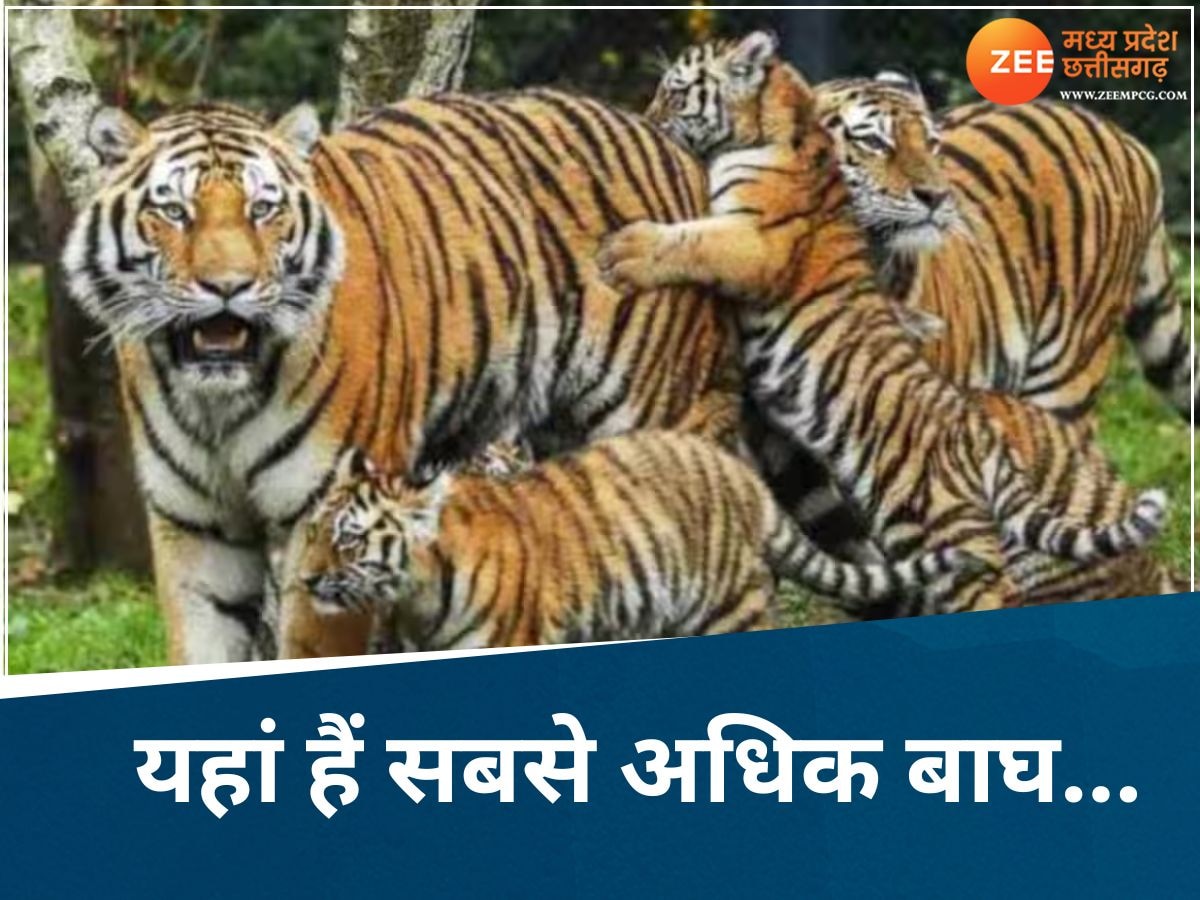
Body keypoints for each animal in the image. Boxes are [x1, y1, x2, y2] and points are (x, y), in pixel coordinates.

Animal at [61, 92, 748, 664]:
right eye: (174, 212)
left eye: (263, 211)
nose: (227, 286)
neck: (217, 401)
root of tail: (668, 143)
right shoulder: (196, 524)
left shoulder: (325, 514)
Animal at [279, 433, 977, 655]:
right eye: (310, 534)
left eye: (348, 540)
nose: (304, 583)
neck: (416, 597)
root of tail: (742, 476)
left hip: (727, 614)